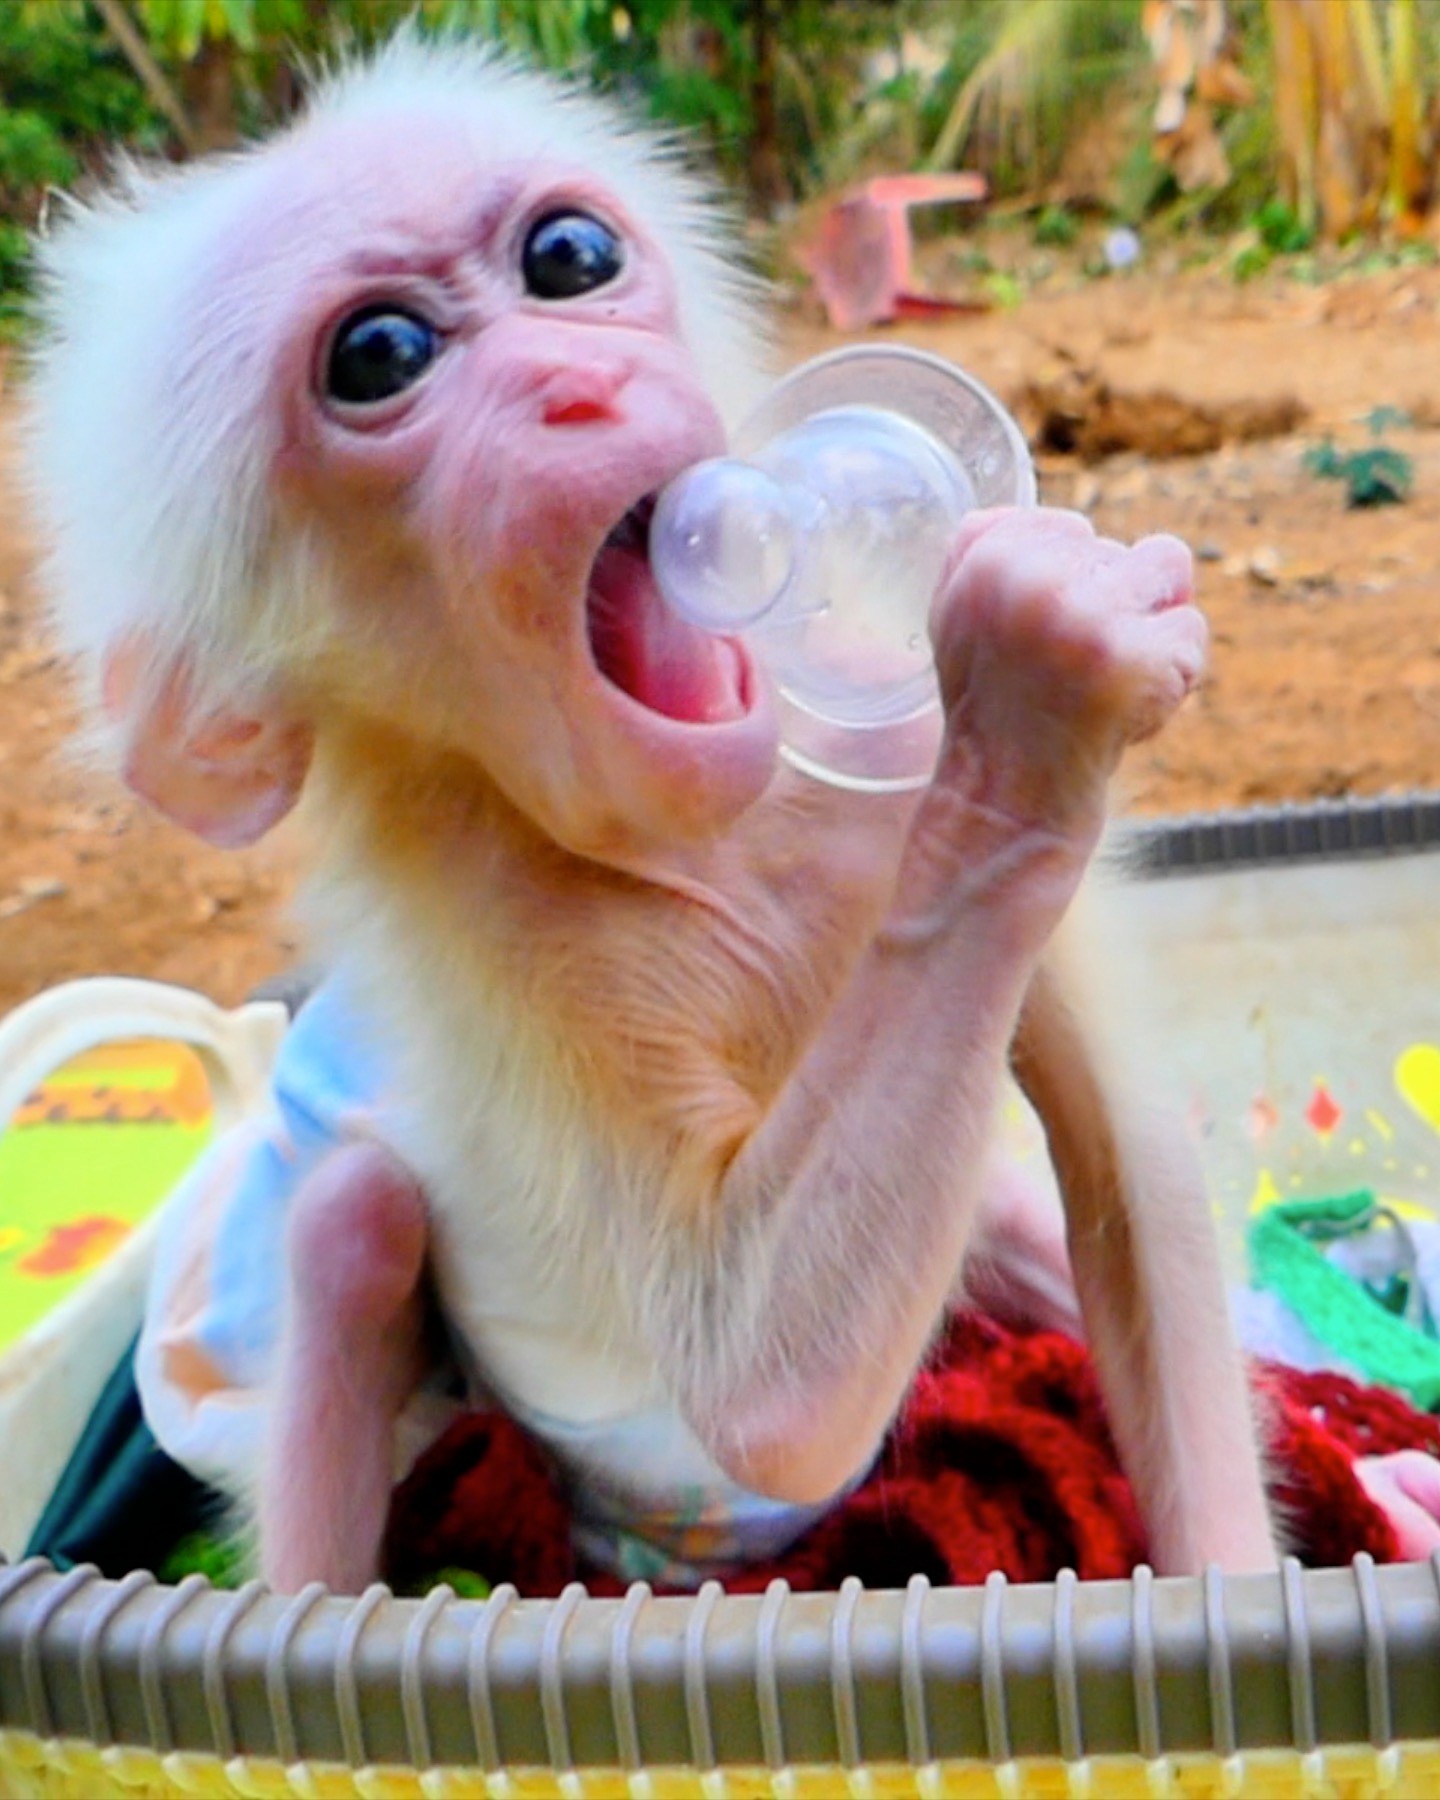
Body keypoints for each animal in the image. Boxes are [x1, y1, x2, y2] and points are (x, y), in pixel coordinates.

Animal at [23, 35, 1440, 1594]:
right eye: (381, 357)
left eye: (568, 259)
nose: (578, 380)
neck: (719, 833)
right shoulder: (500, 937)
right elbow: (756, 1383)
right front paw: (1036, 687)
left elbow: (1127, 1159)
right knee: (351, 1220)